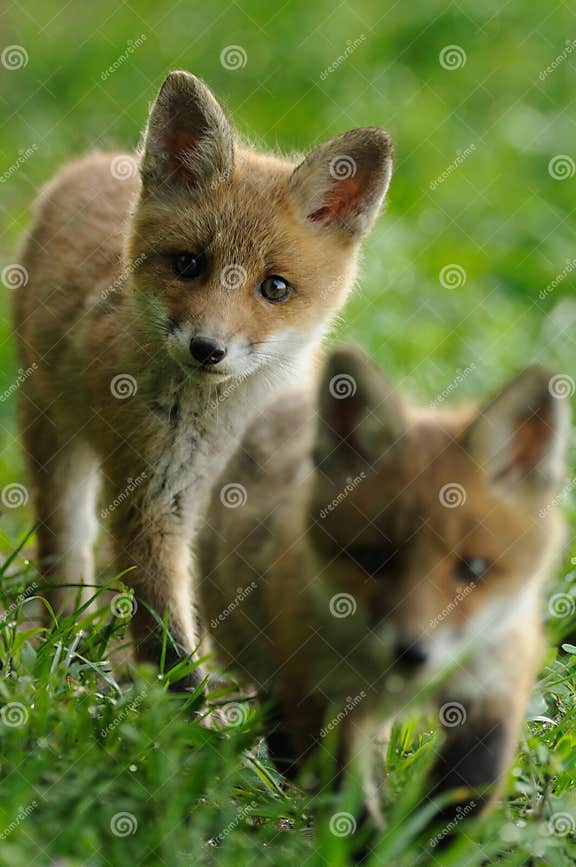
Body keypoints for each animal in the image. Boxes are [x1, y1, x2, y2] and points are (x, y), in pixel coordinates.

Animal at [12, 71, 393, 686]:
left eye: (275, 288)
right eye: (189, 264)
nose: (207, 349)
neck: (224, 424)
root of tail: (95, 160)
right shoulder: (152, 503)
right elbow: (170, 649)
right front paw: (185, 712)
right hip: (53, 442)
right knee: (62, 560)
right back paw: (58, 654)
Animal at [199, 345, 570, 830]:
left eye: (472, 569)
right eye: (375, 560)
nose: (412, 653)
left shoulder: (495, 677)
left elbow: (468, 785)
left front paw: (422, 838)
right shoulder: (324, 696)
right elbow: (348, 805)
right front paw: (375, 841)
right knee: (280, 724)